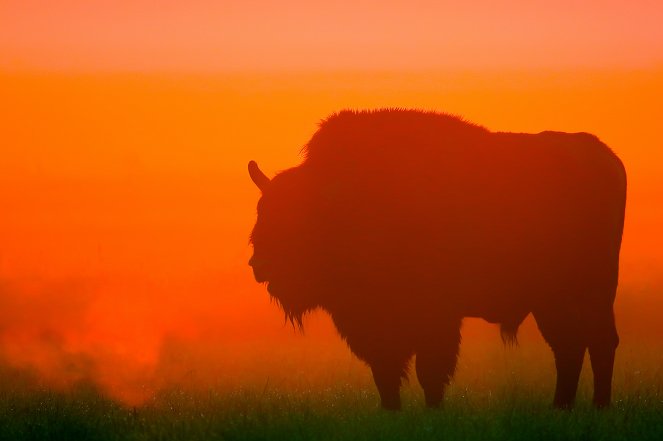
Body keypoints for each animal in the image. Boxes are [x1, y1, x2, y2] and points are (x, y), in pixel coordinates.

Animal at [248, 109, 626, 410]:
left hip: (590, 292)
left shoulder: (436, 318)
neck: (340, 199)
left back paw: (597, 406)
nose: (257, 264)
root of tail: (606, 157)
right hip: (554, 301)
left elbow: (429, 371)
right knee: (573, 346)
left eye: (295, 218)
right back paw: (564, 407)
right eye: (263, 211)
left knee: (596, 343)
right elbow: (387, 373)